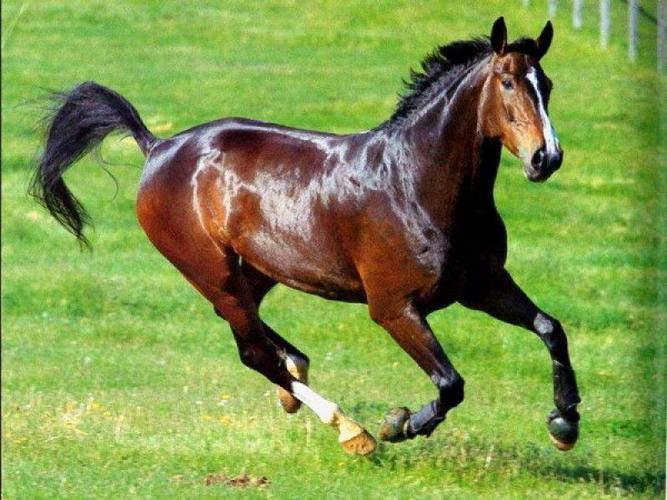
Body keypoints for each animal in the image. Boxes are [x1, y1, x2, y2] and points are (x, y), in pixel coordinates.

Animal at [30, 17, 580, 455]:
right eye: (507, 82)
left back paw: (296, 374)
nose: (546, 158)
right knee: (252, 350)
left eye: (548, 85)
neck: (414, 182)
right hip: (211, 270)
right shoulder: (393, 308)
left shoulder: (481, 285)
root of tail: (158, 146)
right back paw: (351, 431)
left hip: (253, 269)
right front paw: (399, 424)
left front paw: (565, 423)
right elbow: (451, 383)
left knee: (254, 334)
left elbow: (550, 327)